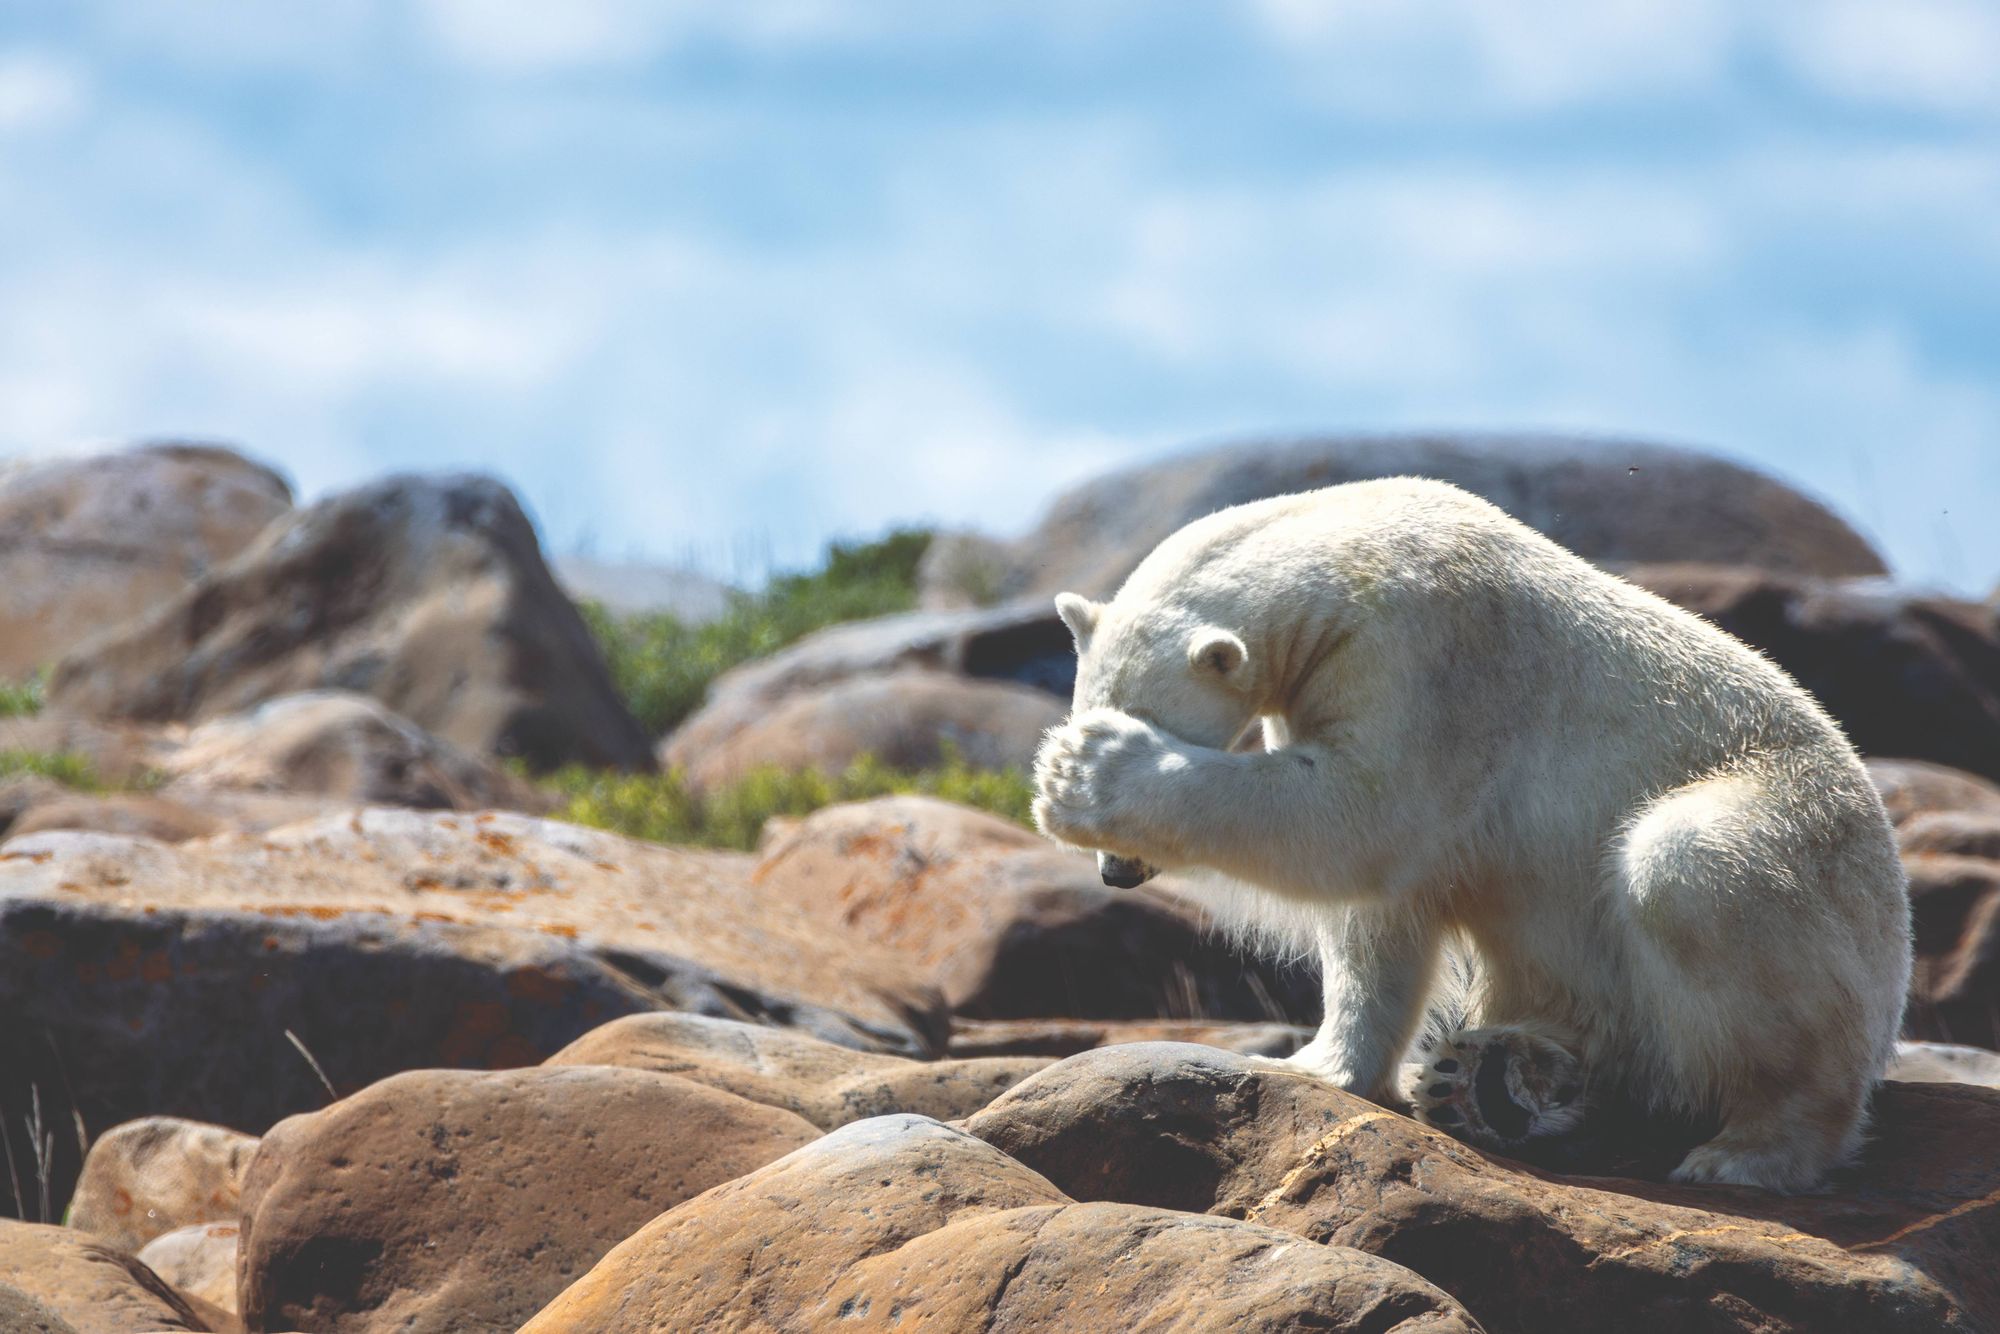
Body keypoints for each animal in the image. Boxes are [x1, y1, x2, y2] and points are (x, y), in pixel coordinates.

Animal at [1032, 477, 1911, 1192]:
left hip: (1812, 857)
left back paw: (1748, 1152)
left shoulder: (1429, 655)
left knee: (1694, 872)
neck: (1352, 540)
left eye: (1139, 719)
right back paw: (1487, 1082)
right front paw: (1318, 1064)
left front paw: (1084, 776)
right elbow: (1377, 908)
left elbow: (1358, 821)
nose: (1115, 874)